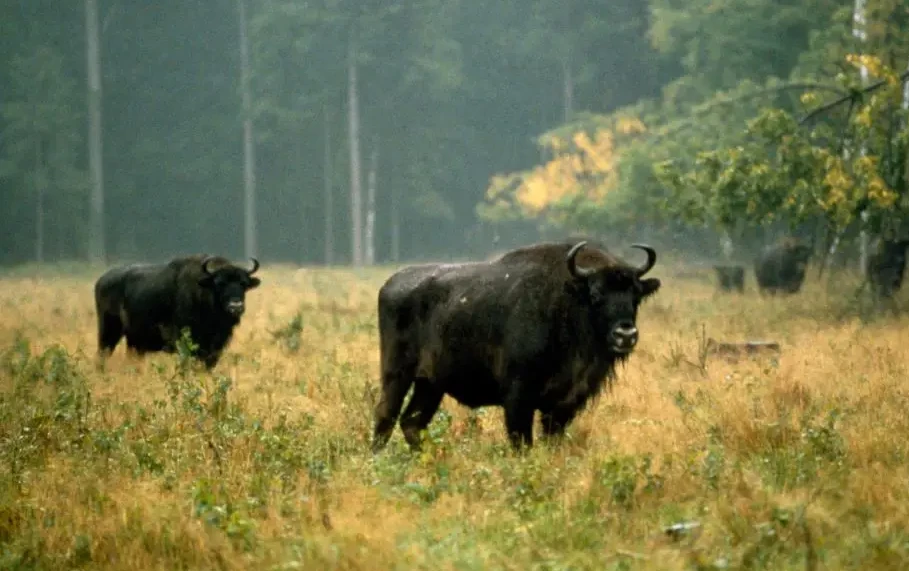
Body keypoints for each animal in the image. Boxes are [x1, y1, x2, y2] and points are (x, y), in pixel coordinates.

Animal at [94, 254, 261, 370]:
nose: (236, 306)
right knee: (103, 354)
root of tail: (101, 280)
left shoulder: (214, 348)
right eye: (220, 283)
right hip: (108, 332)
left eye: (243, 283)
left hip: (133, 340)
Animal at [371, 240, 661, 453]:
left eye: (635, 295)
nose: (626, 334)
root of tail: (390, 284)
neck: (569, 300)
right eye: (596, 294)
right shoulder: (518, 397)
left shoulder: (562, 406)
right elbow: (521, 442)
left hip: (431, 385)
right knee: (386, 416)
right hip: (397, 374)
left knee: (412, 422)